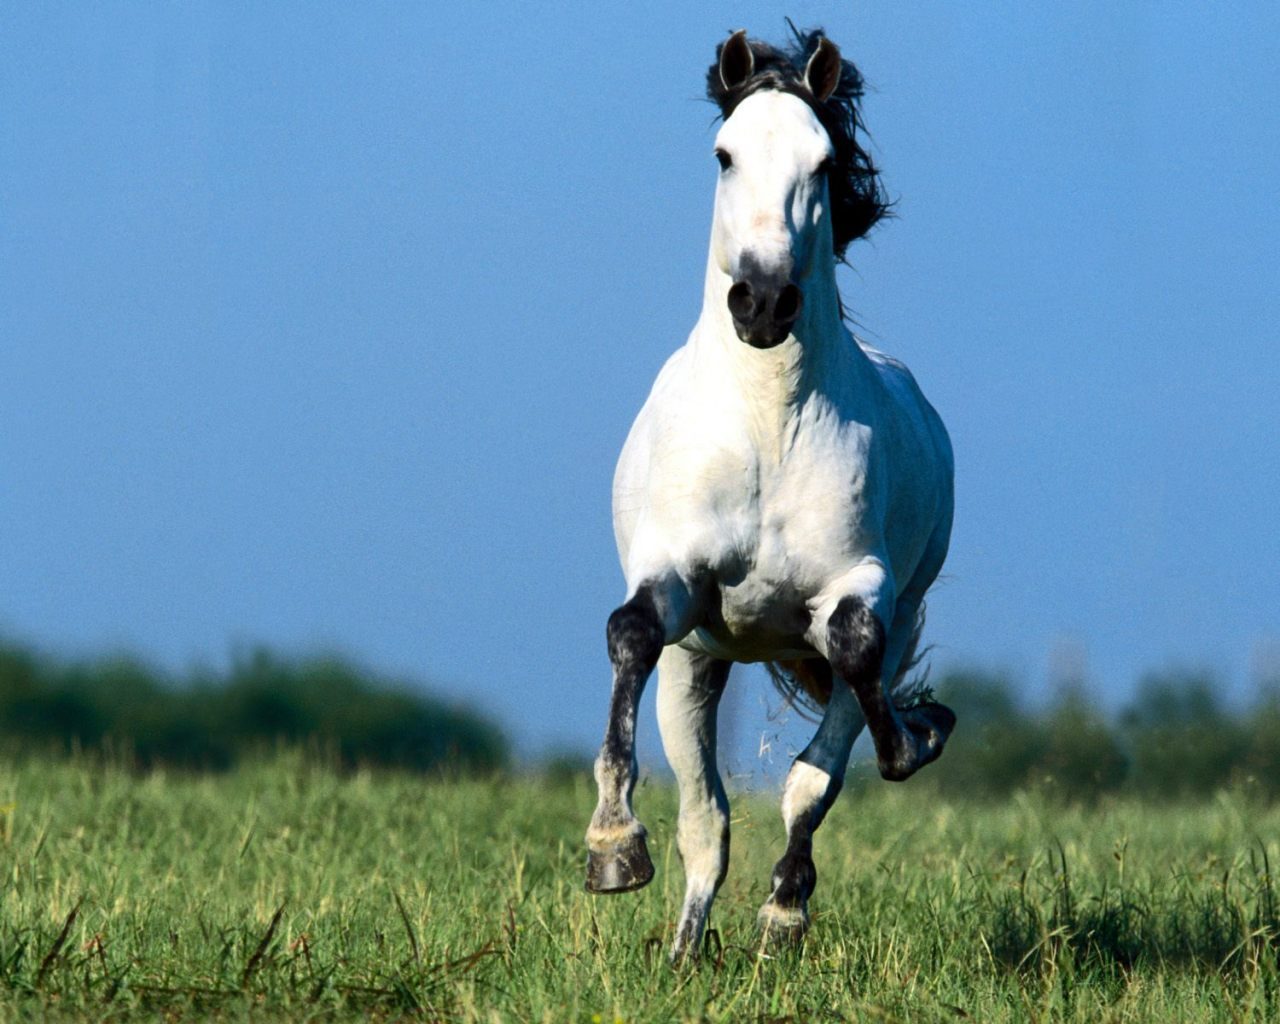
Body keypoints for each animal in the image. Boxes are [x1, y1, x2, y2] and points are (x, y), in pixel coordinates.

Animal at [584, 27, 957, 961]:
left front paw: (919, 737)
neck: (768, 424)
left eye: (822, 162)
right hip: (698, 666)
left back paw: (781, 915)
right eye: (725, 155)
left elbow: (853, 672)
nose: (761, 300)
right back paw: (683, 950)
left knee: (812, 770)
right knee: (704, 818)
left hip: (891, 614)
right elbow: (629, 632)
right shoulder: (674, 580)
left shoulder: (861, 589)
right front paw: (611, 847)